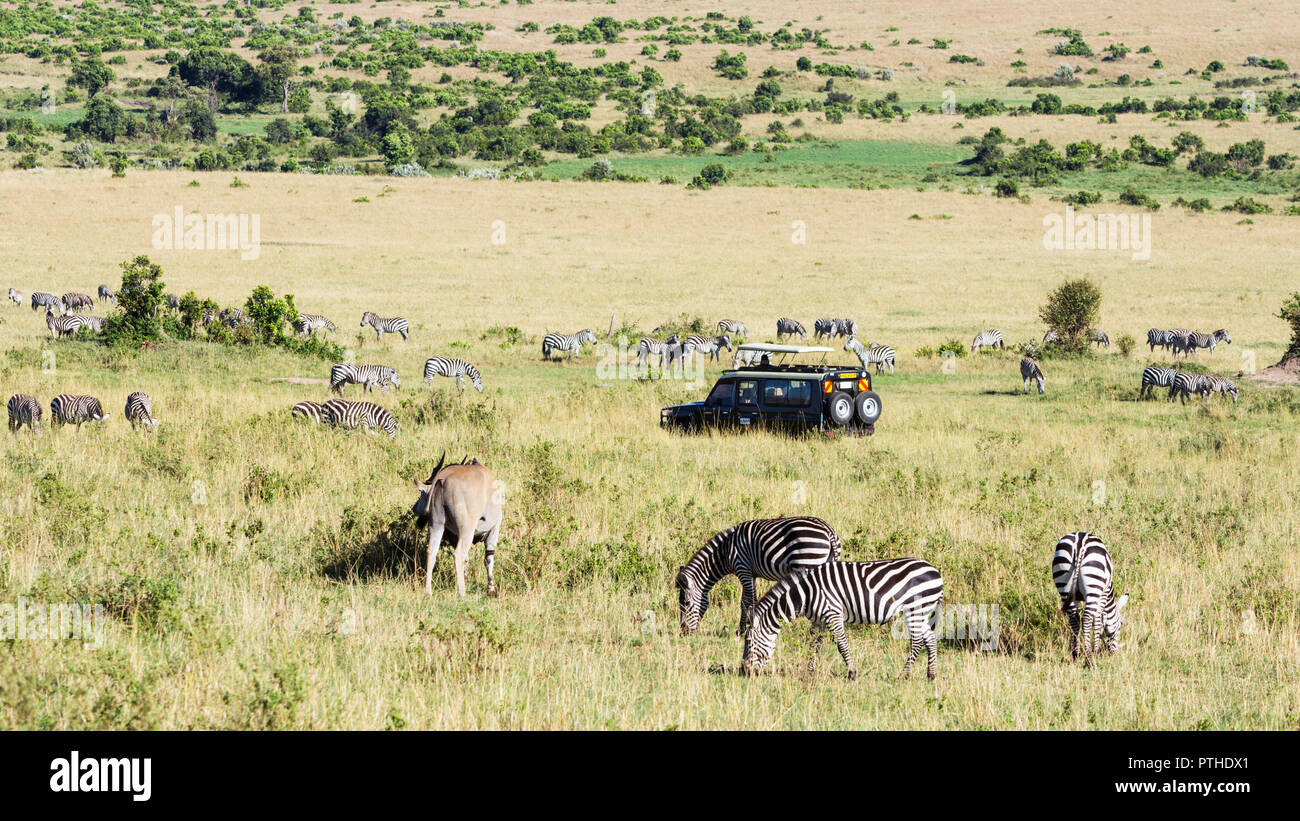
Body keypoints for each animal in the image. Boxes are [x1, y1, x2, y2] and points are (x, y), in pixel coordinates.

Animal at [676, 516, 842, 637]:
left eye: (687, 604)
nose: (684, 632)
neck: (725, 552)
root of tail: (828, 531)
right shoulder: (750, 573)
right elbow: (744, 600)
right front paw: (741, 629)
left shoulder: (743, 568)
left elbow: (749, 599)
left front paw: (750, 626)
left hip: (807, 561)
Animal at [742, 558, 945, 681]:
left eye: (749, 643)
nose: (744, 671)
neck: (806, 593)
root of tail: (935, 571)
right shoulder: (819, 620)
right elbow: (814, 645)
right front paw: (810, 671)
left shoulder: (833, 613)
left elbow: (841, 645)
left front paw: (852, 673)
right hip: (921, 612)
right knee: (930, 639)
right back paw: (931, 674)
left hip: (916, 609)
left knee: (917, 642)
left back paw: (904, 675)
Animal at [1051, 532, 1128, 663]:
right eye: (1121, 623)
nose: (1114, 653)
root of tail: (1079, 543)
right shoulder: (1103, 595)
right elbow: (1097, 621)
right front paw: (1095, 650)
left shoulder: (1076, 597)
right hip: (1094, 585)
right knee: (1086, 618)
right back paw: (1089, 660)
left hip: (1063, 580)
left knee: (1074, 619)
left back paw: (1075, 655)